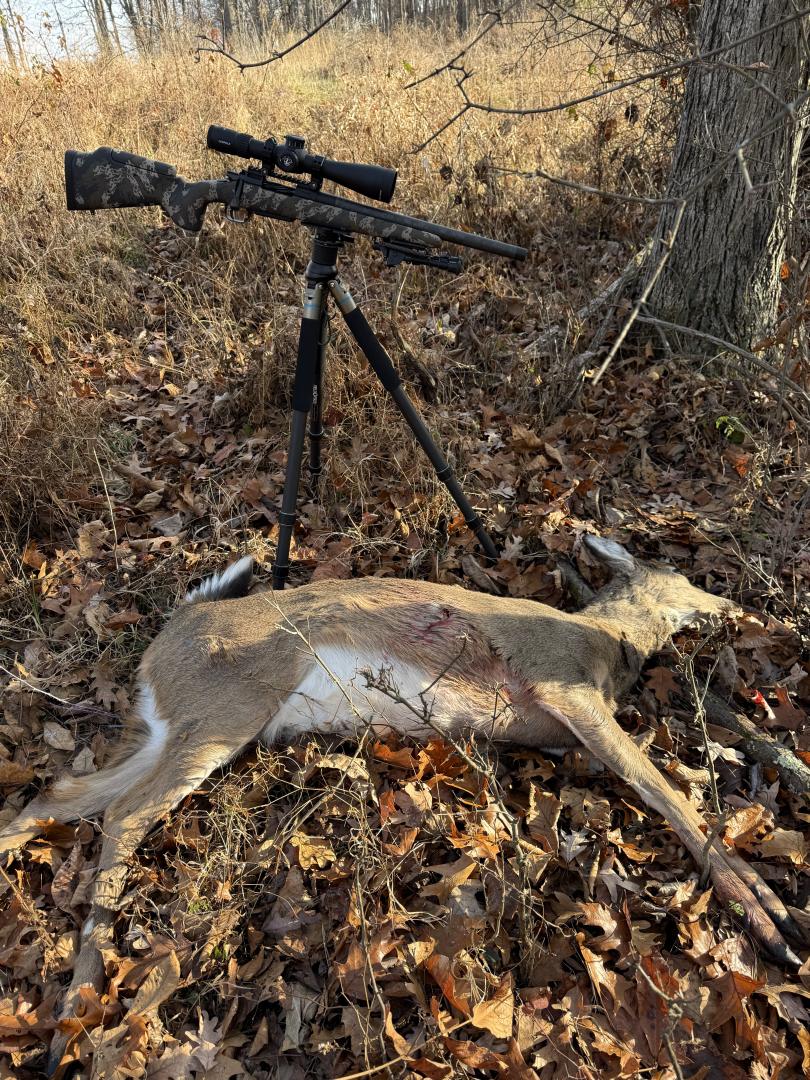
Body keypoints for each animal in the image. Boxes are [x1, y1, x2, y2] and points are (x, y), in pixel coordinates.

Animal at [0, 535, 802, 1074]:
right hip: (225, 712)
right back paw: (76, 1007)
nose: (735, 603)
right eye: (681, 576)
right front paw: (775, 920)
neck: (606, 643)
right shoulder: (561, 687)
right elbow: (665, 793)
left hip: (175, 727)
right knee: (124, 814)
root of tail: (162, 642)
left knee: (57, 797)